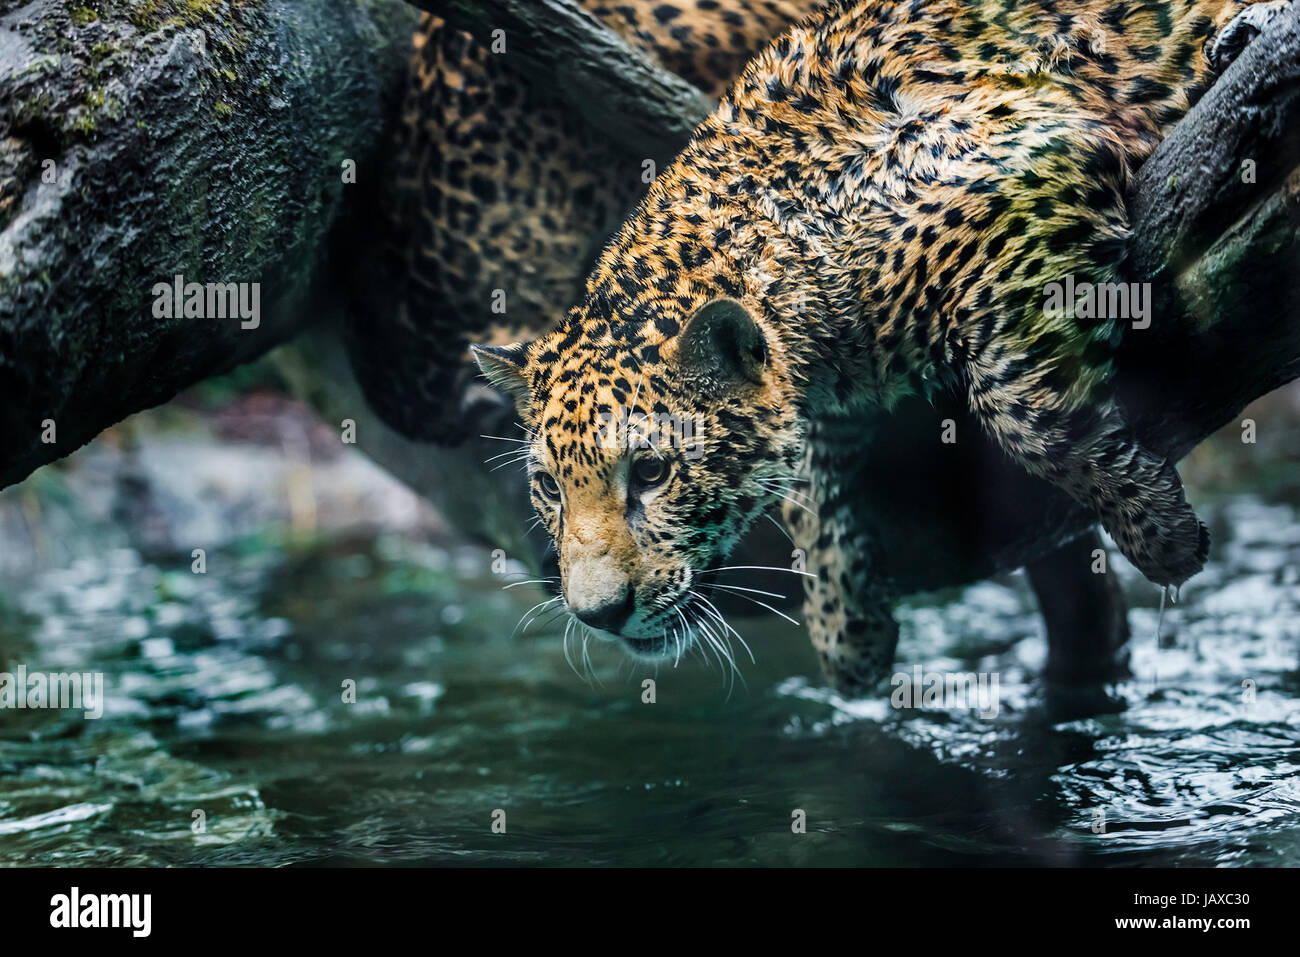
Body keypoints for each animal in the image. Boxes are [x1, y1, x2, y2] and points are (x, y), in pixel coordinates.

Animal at [472, 0, 1294, 695]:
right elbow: (810, 483)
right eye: (550, 488)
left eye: (650, 473)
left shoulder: (1021, 158)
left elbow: (1021, 413)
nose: (598, 615)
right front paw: (848, 633)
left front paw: (1161, 533)